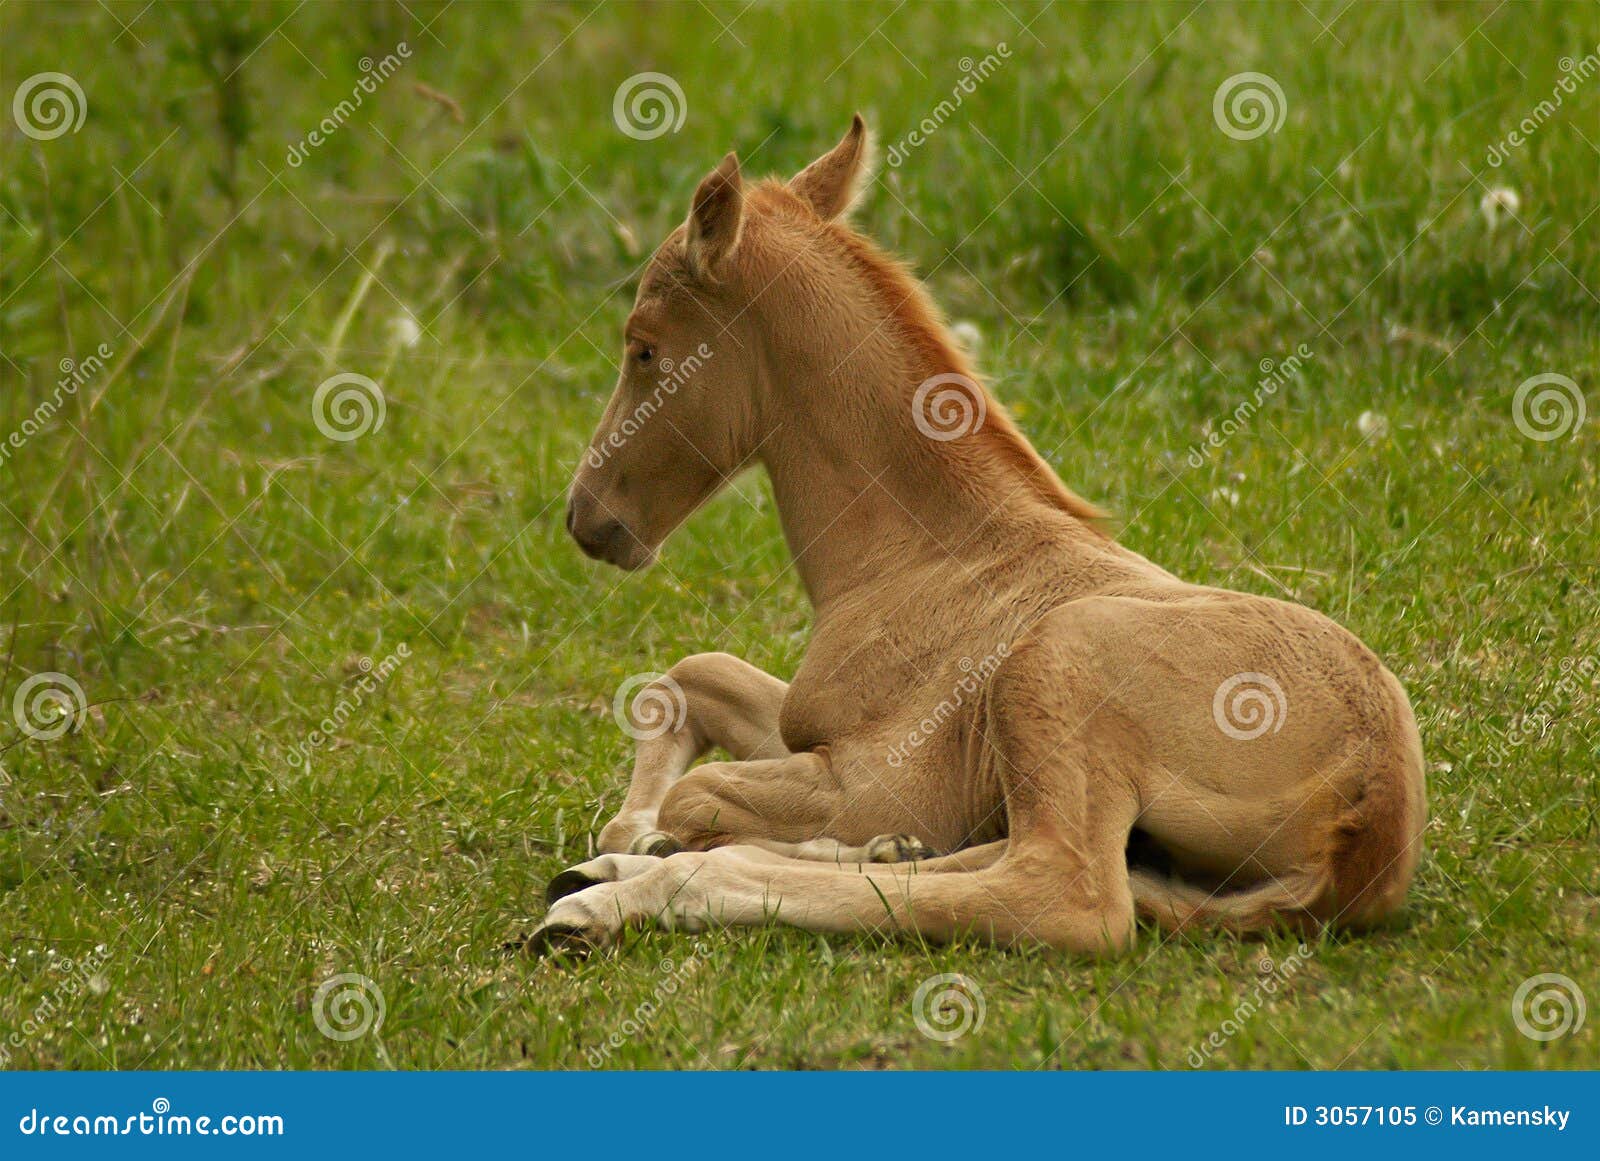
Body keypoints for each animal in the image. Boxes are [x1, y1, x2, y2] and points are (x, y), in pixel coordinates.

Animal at [536, 115, 1426, 956]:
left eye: (644, 347)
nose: (587, 516)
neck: (928, 555)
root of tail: (1372, 807)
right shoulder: (805, 729)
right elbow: (687, 678)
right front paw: (637, 839)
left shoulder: (883, 777)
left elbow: (697, 786)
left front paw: (650, 851)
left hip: (1053, 665)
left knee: (1062, 895)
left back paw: (608, 902)